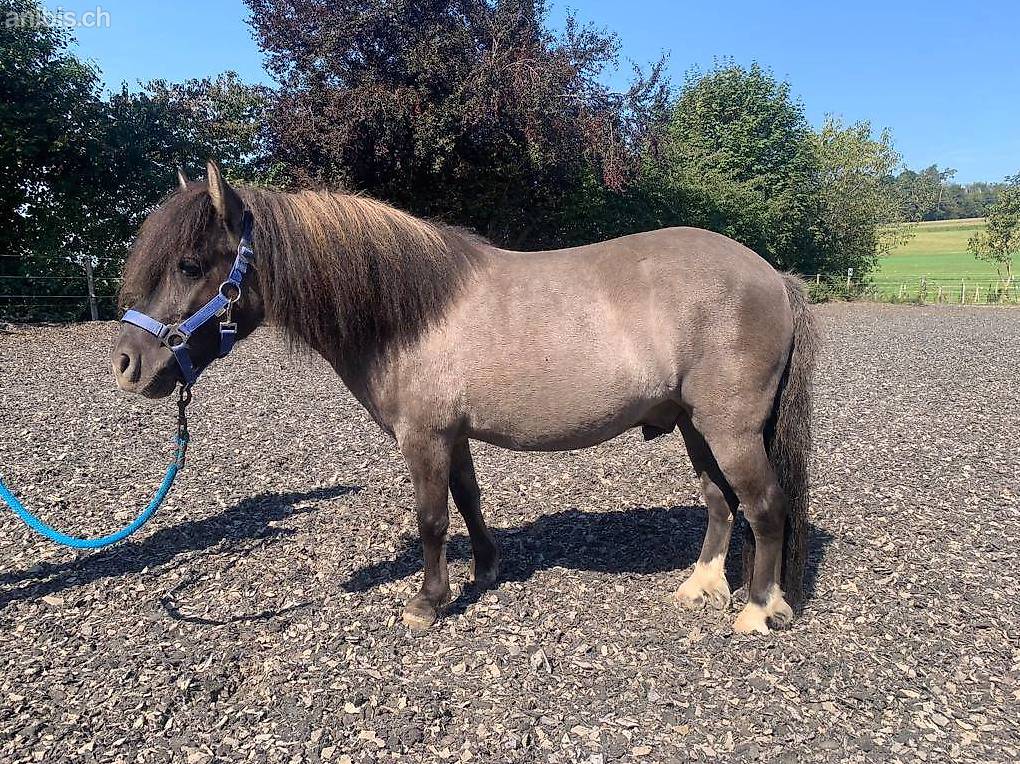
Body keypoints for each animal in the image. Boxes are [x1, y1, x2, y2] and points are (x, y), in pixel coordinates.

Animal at [112, 161, 816, 635]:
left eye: (188, 265)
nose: (127, 365)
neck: (409, 311)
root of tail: (772, 274)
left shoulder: (422, 436)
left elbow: (431, 517)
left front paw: (426, 602)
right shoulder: (453, 436)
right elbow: (469, 500)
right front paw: (486, 569)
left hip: (729, 430)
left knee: (764, 505)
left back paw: (756, 611)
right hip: (696, 426)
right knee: (720, 503)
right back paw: (700, 586)